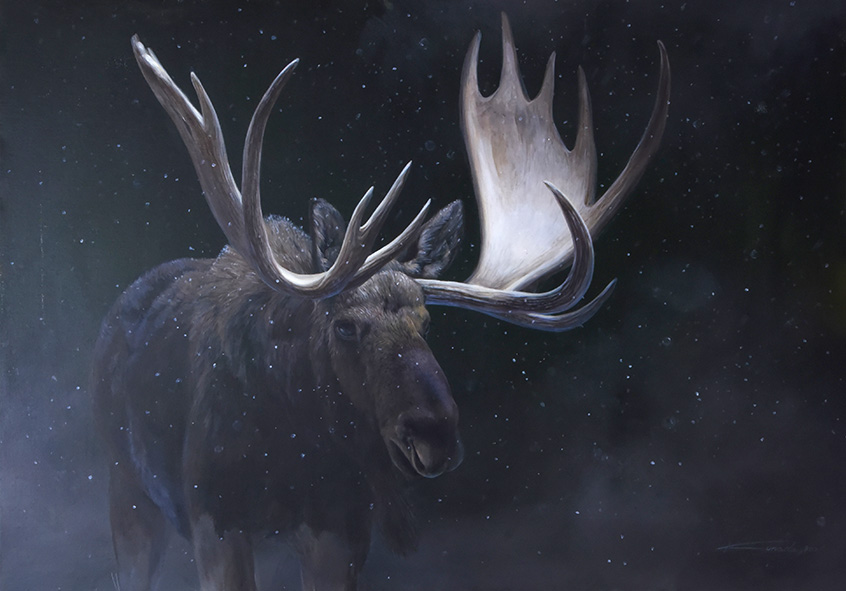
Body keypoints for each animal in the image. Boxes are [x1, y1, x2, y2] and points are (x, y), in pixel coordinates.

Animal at [91, 14, 669, 591]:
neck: (294, 437)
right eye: (345, 326)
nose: (434, 434)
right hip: (127, 494)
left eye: (427, 323)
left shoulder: (342, 523)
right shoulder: (216, 516)